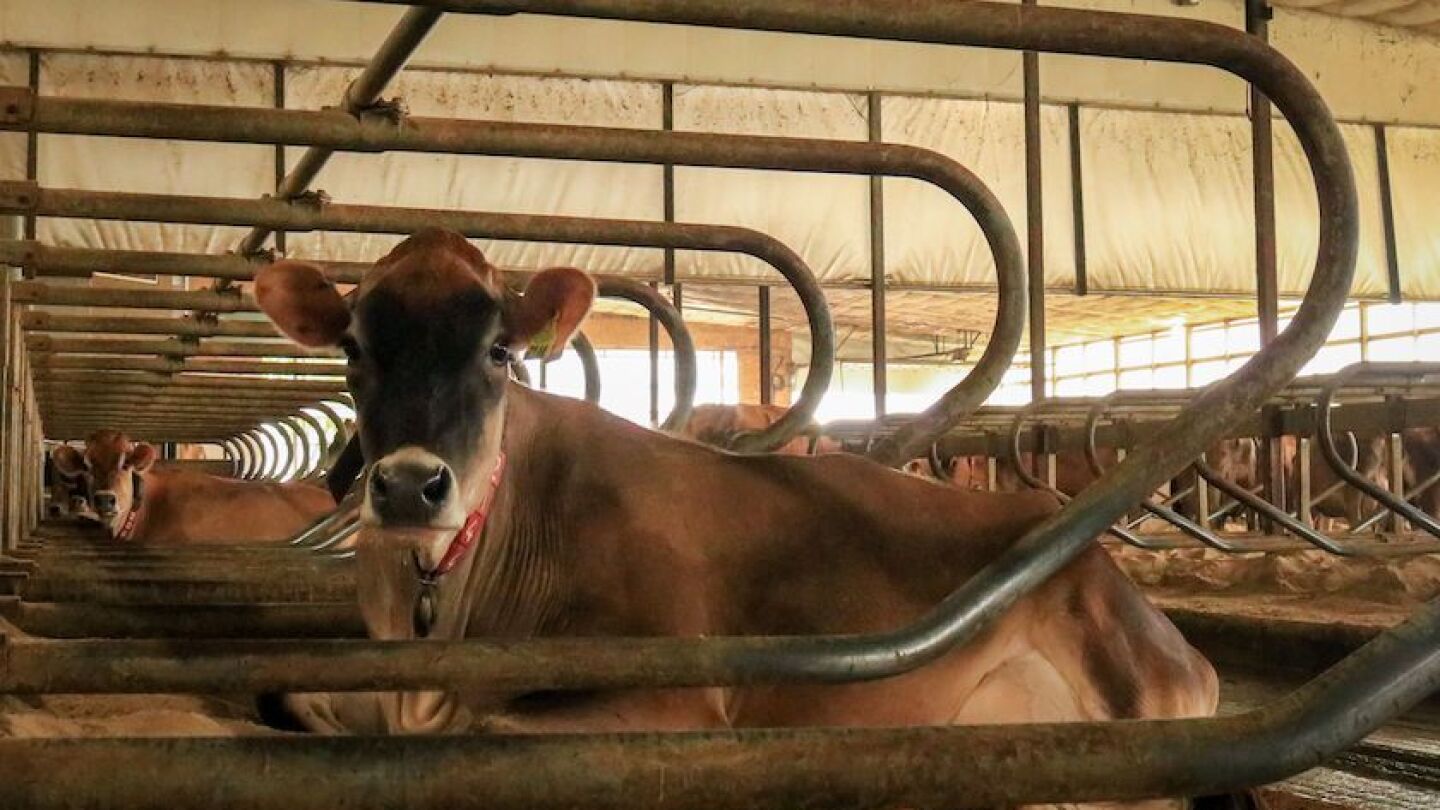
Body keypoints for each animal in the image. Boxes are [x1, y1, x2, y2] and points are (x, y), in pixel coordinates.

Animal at [254, 230, 1224, 807]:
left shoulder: (681, 702)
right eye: (352, 349)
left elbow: (487, 734)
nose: (409, 485)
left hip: (1134, 698)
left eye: (500, 351)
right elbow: (289, 691)